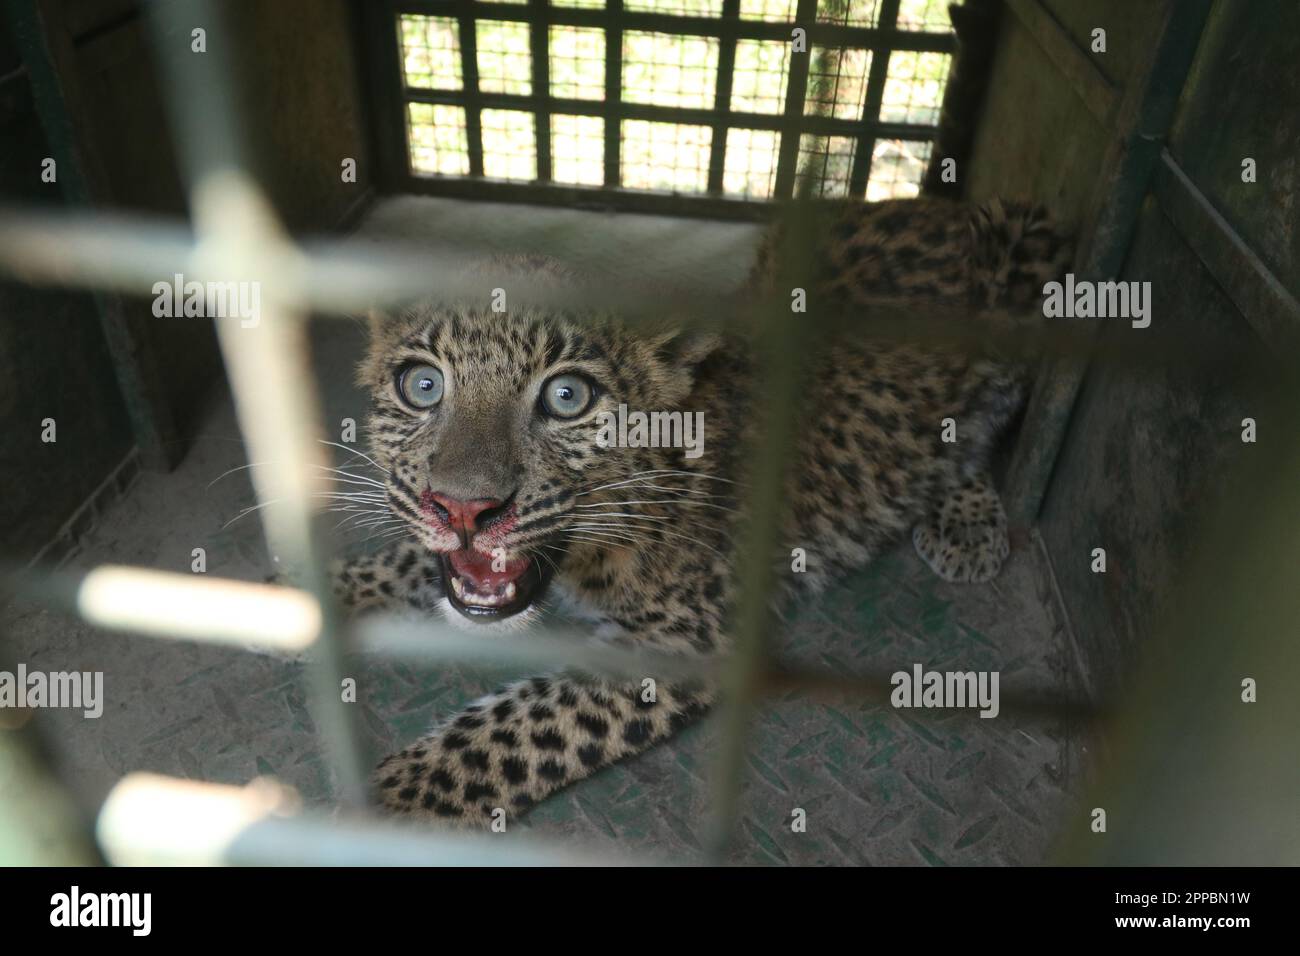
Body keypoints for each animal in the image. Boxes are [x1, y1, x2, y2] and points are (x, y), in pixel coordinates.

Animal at [336, 196, 1072, 826]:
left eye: (568, 397)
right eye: (422, 386)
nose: (463, 508)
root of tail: (940, 202)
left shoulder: (686, 638)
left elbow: (517, 728)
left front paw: (383, 803)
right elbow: (404, 559)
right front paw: (317, 597)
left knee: (981, 431)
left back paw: (965, 519)